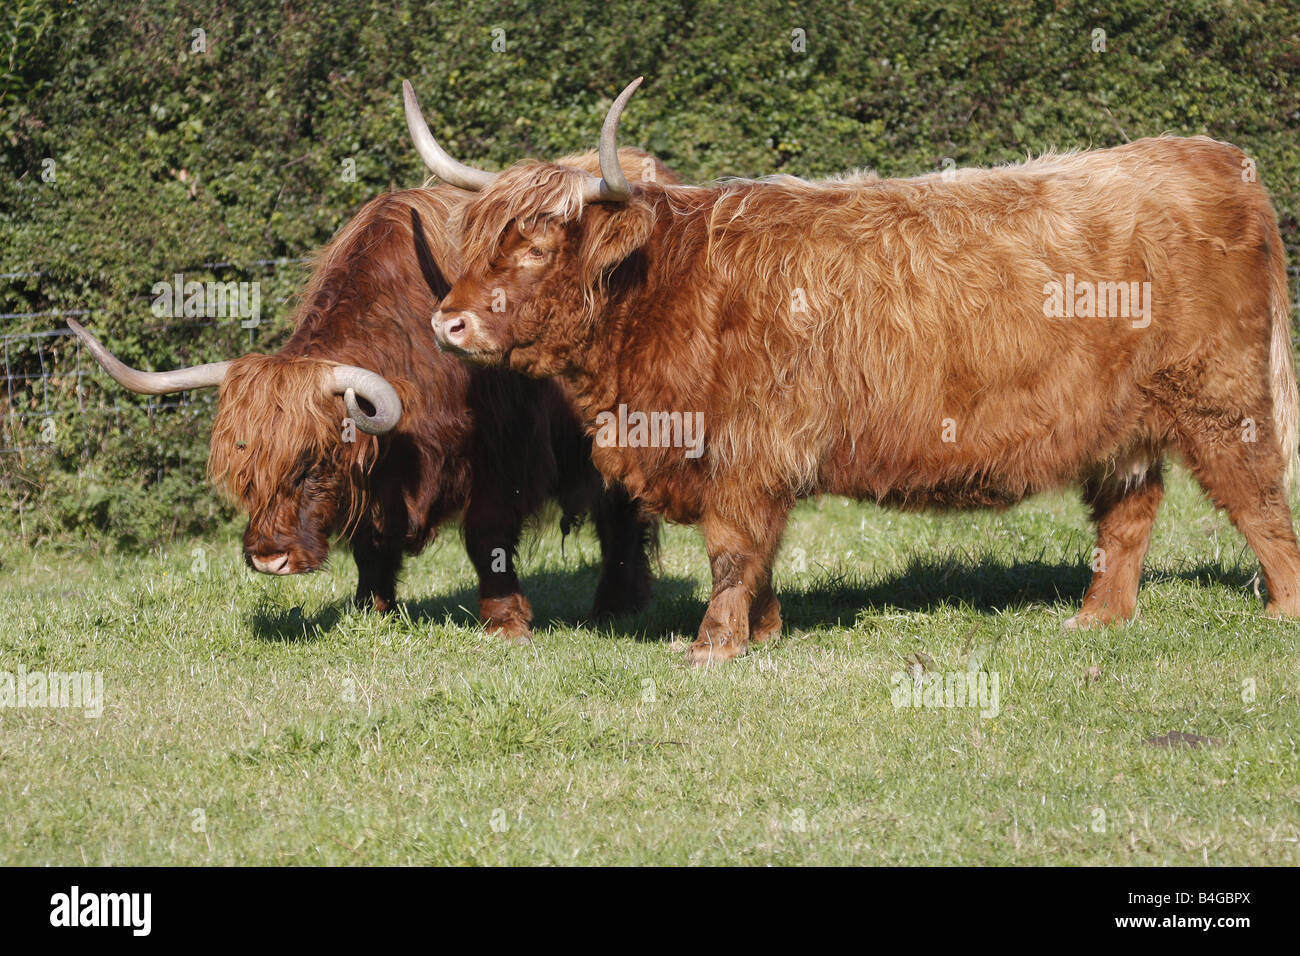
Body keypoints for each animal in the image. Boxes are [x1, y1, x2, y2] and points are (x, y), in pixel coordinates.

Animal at [69, 133, 676, 643]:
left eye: (313, 463)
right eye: (246, 466)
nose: (268, 559)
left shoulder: (500, 461)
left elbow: (489, 540)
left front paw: (505, 625)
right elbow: (370, 544)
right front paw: (371, 610)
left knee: (622, 521)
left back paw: (614, 606)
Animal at [414, 77, 1300, 665]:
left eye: (535, 246)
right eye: (477, 240)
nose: (447, 320)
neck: (665, 289)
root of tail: (1216, 158)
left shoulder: (750, 446)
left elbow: (733, 548)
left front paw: (713, 646)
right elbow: (757, 552)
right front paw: (764, 630)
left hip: (1222, 400)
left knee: (1260, 503)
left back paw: (1282, 611)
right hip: (1123, 421)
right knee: (1128, 515)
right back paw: (1098, 619)